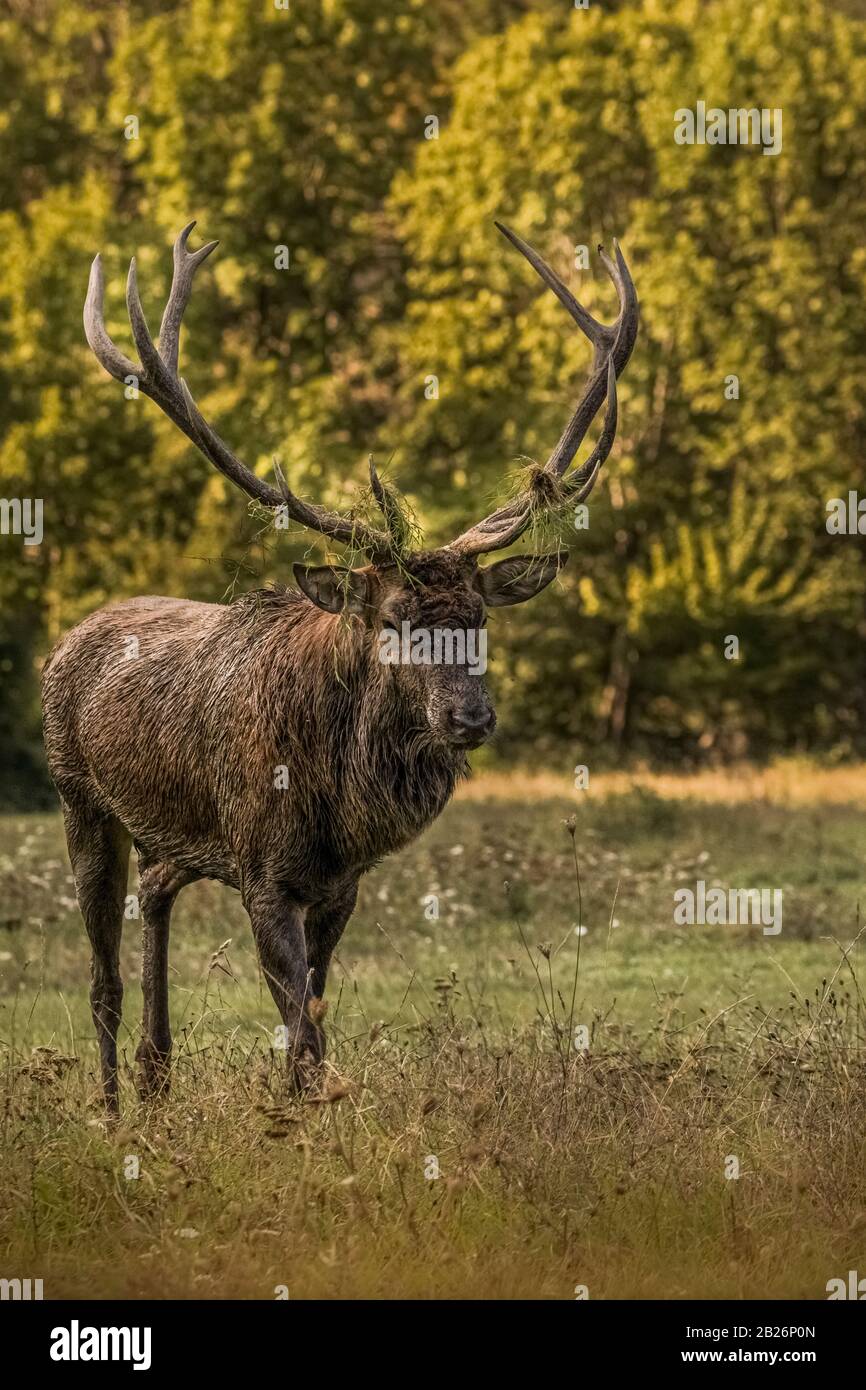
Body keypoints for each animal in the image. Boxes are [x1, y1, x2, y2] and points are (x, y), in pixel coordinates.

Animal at [41, 221, 638, 1111]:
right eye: (392, 621)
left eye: (481, 619)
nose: (470, 717)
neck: (330, 803)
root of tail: (68, 639)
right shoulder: (260, 868)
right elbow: (303, 1031)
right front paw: (306, 1113)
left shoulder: (341, 883)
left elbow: (313, 1013)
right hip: (78, 797)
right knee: (101, 974)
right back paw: (112, 1109)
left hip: (168, 837)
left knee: (154, 899)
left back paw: (155, 1080)